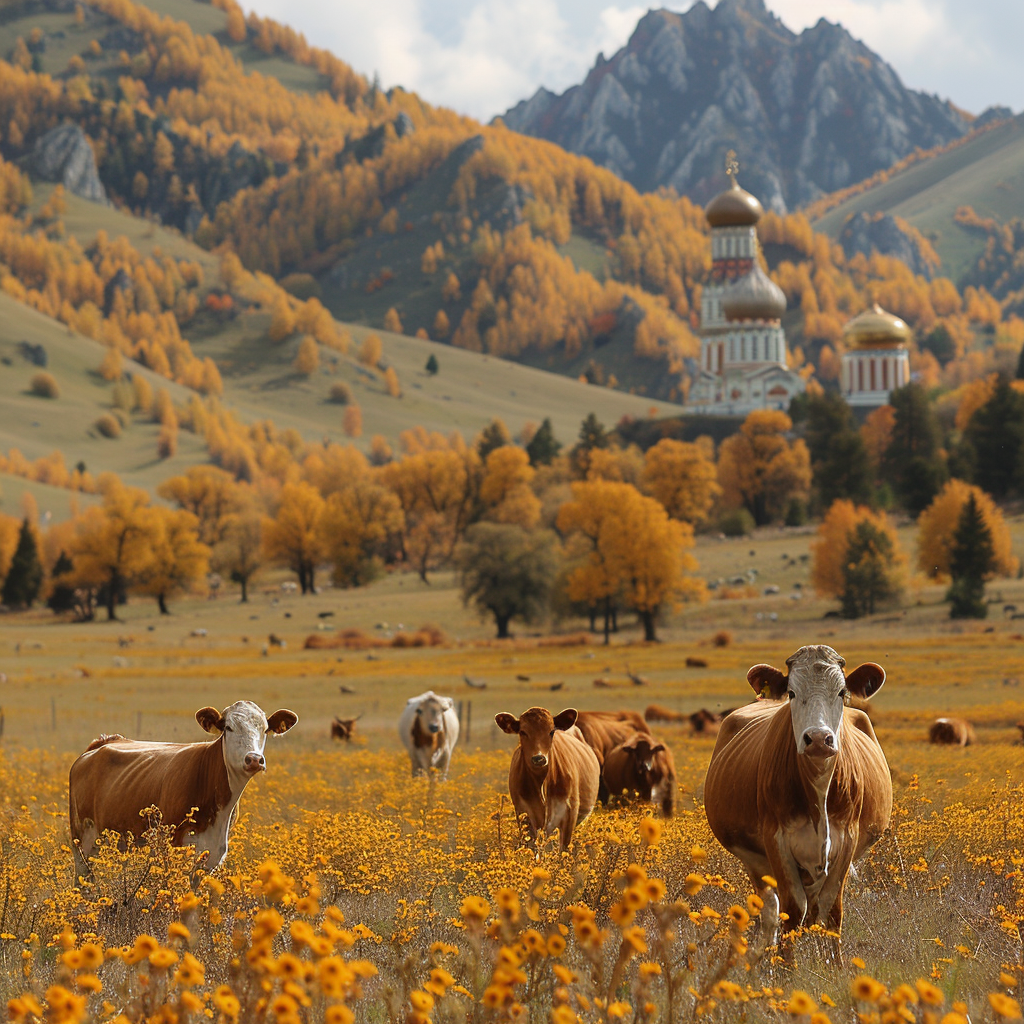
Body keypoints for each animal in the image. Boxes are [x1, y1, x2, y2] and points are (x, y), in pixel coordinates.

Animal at [68, 700, 296, 884]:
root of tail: (103, 742)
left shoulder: (213, 852)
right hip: (81, 839)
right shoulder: (171, 846)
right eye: (228, 728)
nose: (254, 759)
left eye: (265, 730)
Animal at [704, 647, 888, 950]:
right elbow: (792, 910)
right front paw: (785, 962)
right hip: (757, 863)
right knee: (771, 911)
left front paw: (831, 960)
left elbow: (831, 910)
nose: (818, 738)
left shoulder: (847, 840)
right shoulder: (777, 841)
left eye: (841, 692)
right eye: (791, 692)